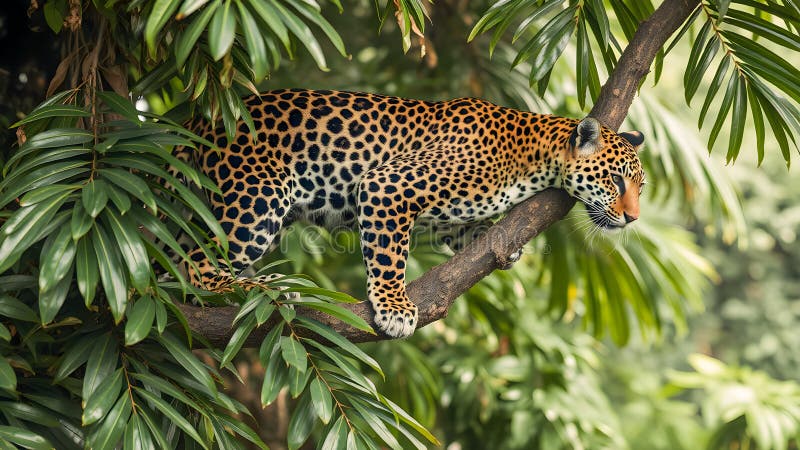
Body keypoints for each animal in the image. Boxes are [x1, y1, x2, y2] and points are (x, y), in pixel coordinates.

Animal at [177, 88, 646, 338]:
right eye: (616, 180)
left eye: (640, 187)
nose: (633, 218)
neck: (530, 156)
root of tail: (197, 123)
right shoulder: (385, 185)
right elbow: (388, 256)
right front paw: (394, 308)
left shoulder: (449, 211)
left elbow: (468, 229)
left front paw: (498, 242)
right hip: (257, 196)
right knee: (194, 271)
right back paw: (265, 287)